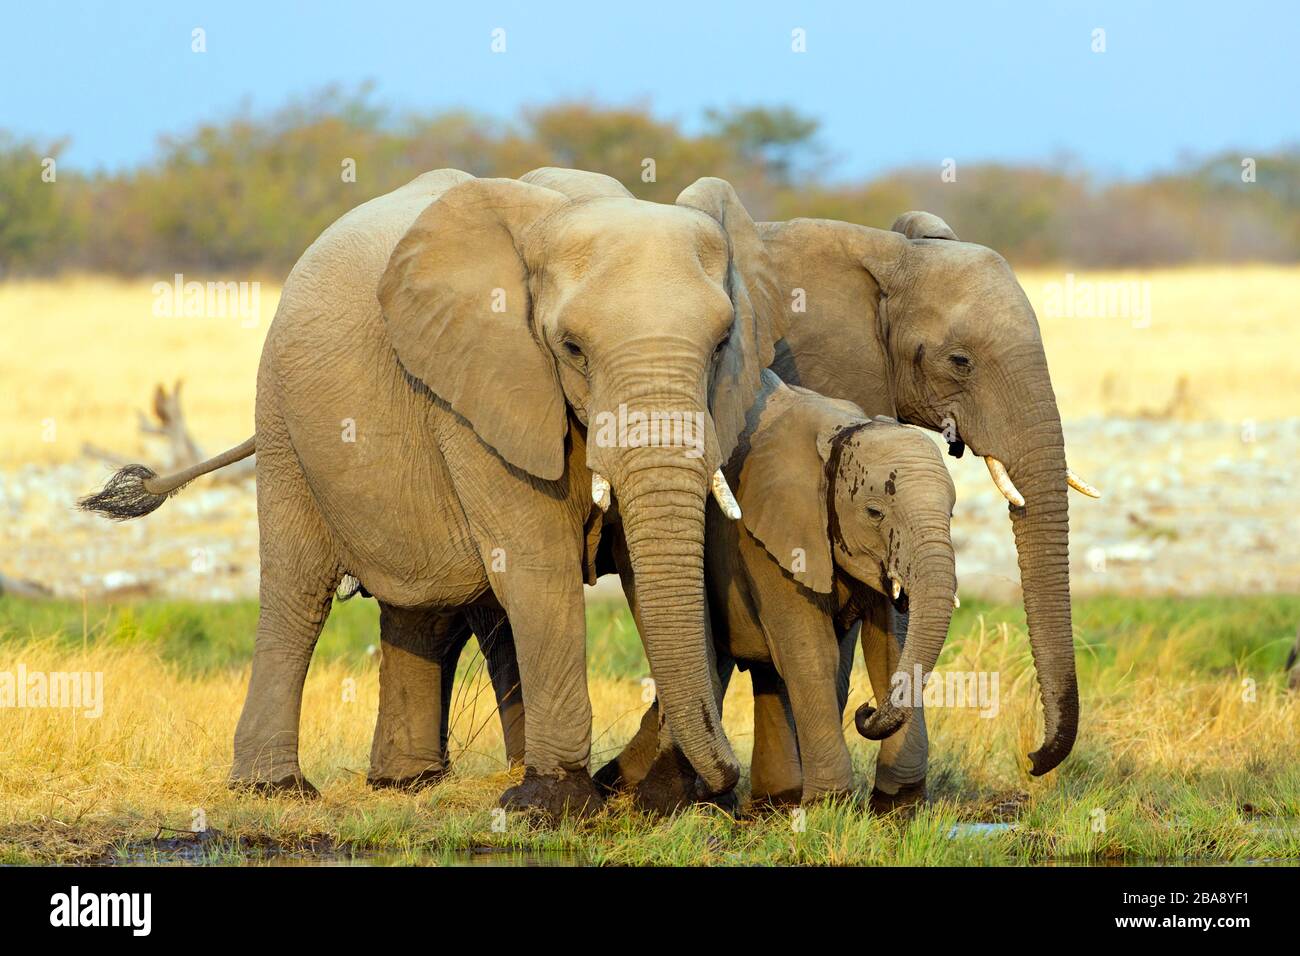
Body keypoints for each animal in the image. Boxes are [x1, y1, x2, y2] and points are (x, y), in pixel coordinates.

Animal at [79, 167, 786, 819]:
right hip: (281, 419)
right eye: (572, 348)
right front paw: (549, 803)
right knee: (297, 591)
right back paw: (275, 790)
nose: (725, 781)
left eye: (722, 344)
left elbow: (644, 573)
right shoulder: (482, 390)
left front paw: (650, 795)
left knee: (425, 604)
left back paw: (407, 783)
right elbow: (537, 566)